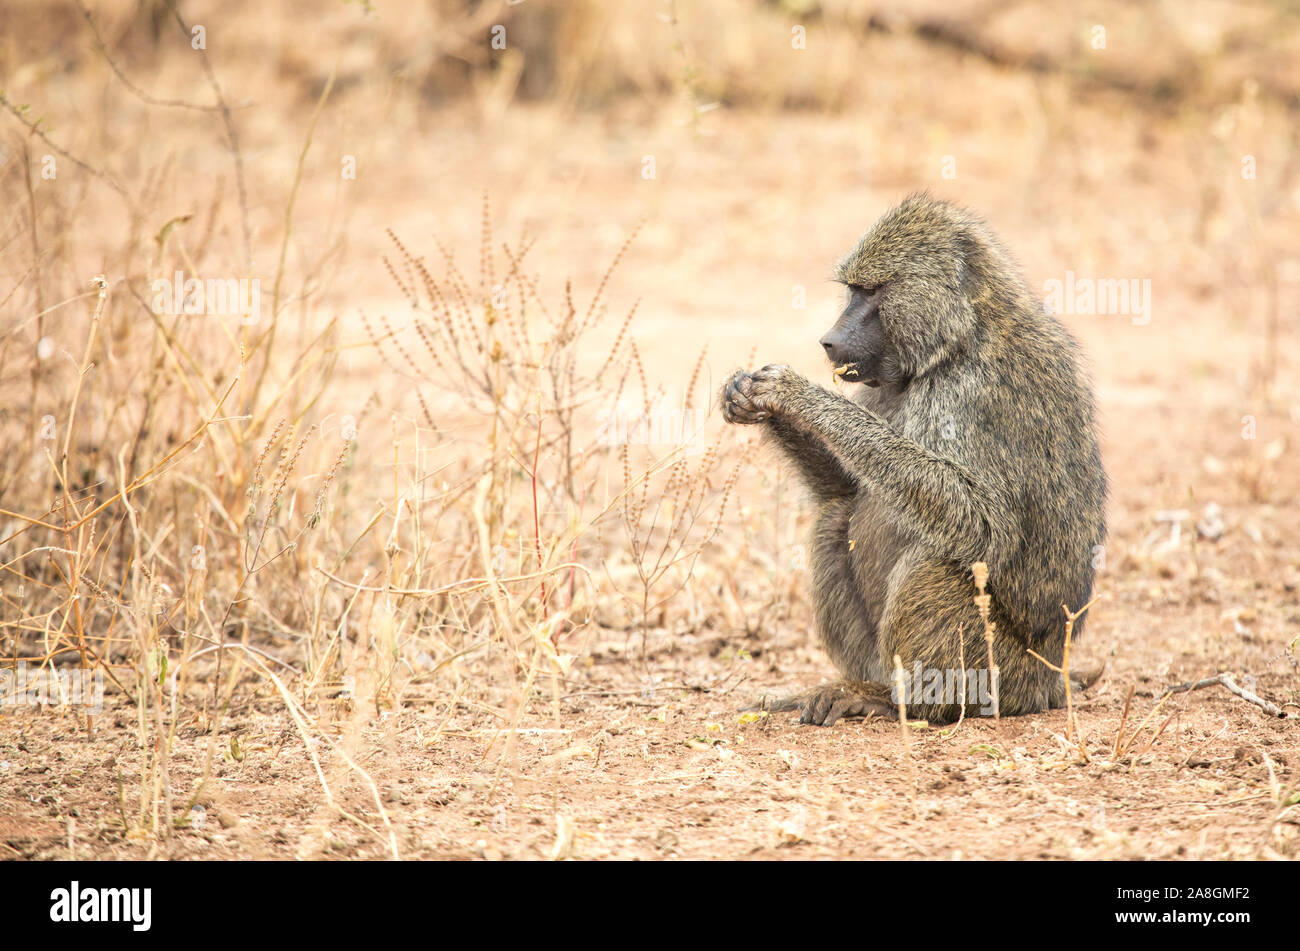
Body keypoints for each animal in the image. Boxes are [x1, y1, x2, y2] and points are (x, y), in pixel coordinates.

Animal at [721, 194, 1107, 726]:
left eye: (873, 290)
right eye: (852, 290)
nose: (829, 341)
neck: (956, 342)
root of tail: (1050, 678)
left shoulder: (977, 390)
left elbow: (986, 524)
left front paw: (795, 393)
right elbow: (845, 488)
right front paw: (750, 397)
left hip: (1003, 673)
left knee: (937, 559)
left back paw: (893, 701)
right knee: (834, 517)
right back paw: (864, 685)